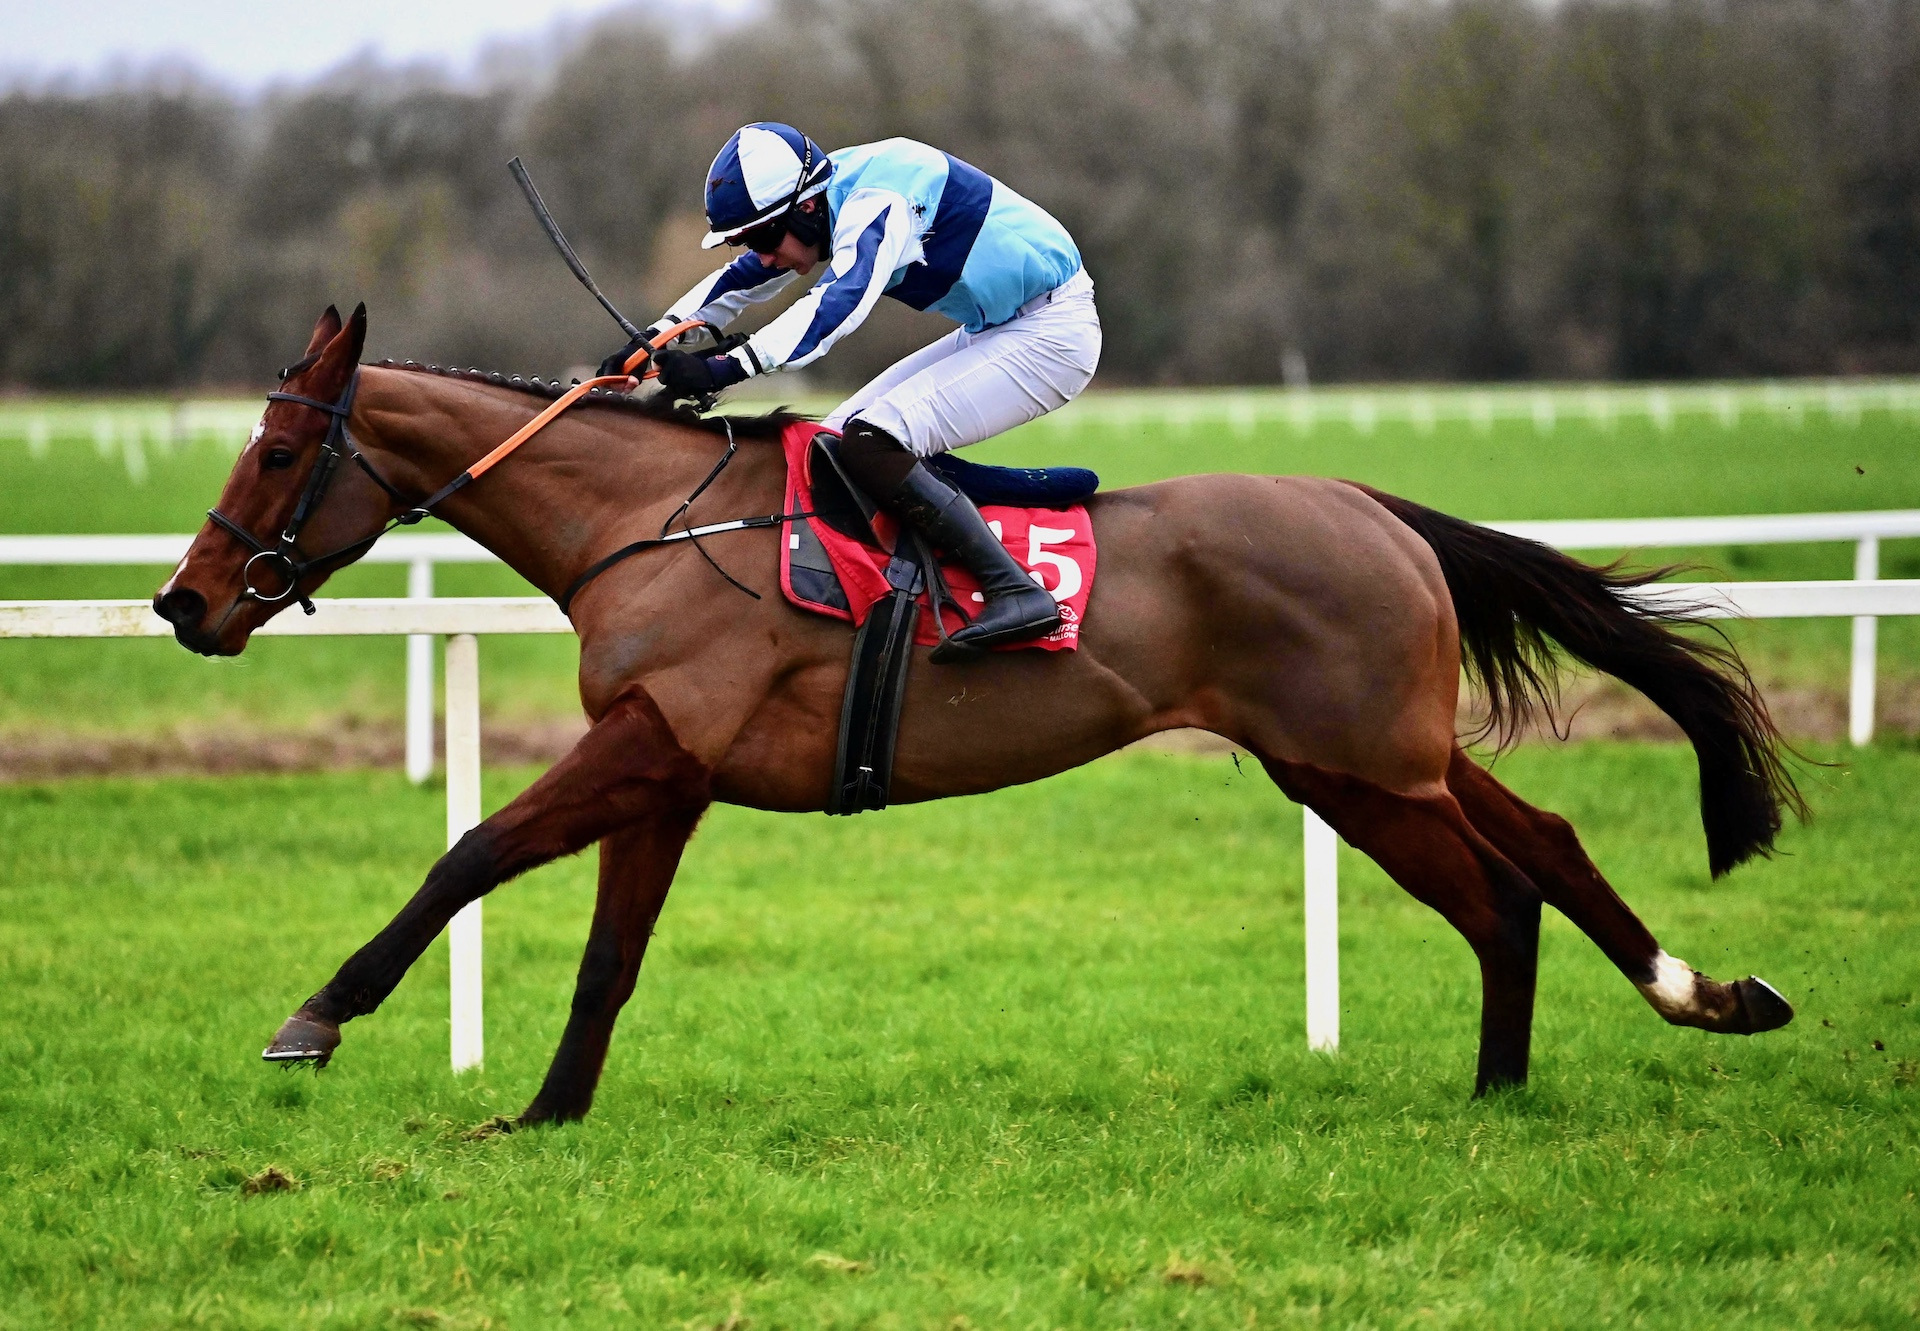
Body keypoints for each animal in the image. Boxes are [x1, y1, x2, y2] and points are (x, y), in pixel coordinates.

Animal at [153, 305, 1802, 1127]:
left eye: (281, 448)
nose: (184, 601)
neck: (646, 521)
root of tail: (1373, 504)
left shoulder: (646, 744)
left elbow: (472, 852)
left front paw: (316, 1016)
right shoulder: (669, 769)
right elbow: (608, 954)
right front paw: (550, 1112)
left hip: (1360, 761)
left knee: (1509, 879)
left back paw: (1553, 1062)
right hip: (1362, 758)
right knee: (1538, 855)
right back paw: (1658, 1013)